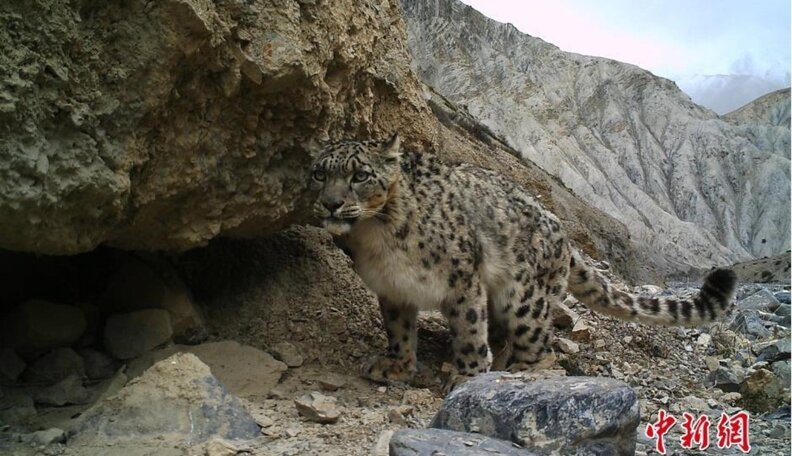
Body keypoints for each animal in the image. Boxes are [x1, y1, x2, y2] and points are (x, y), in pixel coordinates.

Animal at [309, 134, 737, 391]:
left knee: (539, 340)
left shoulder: (462, 279)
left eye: (360, 175)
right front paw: (396, 365)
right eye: (318, 173)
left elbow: (469, 328)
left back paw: (520, 369)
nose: (330, 203)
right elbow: (398, 331)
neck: (377, 237)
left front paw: (467, 375)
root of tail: (564, 233)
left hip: (524, 296)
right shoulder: (393, 288)